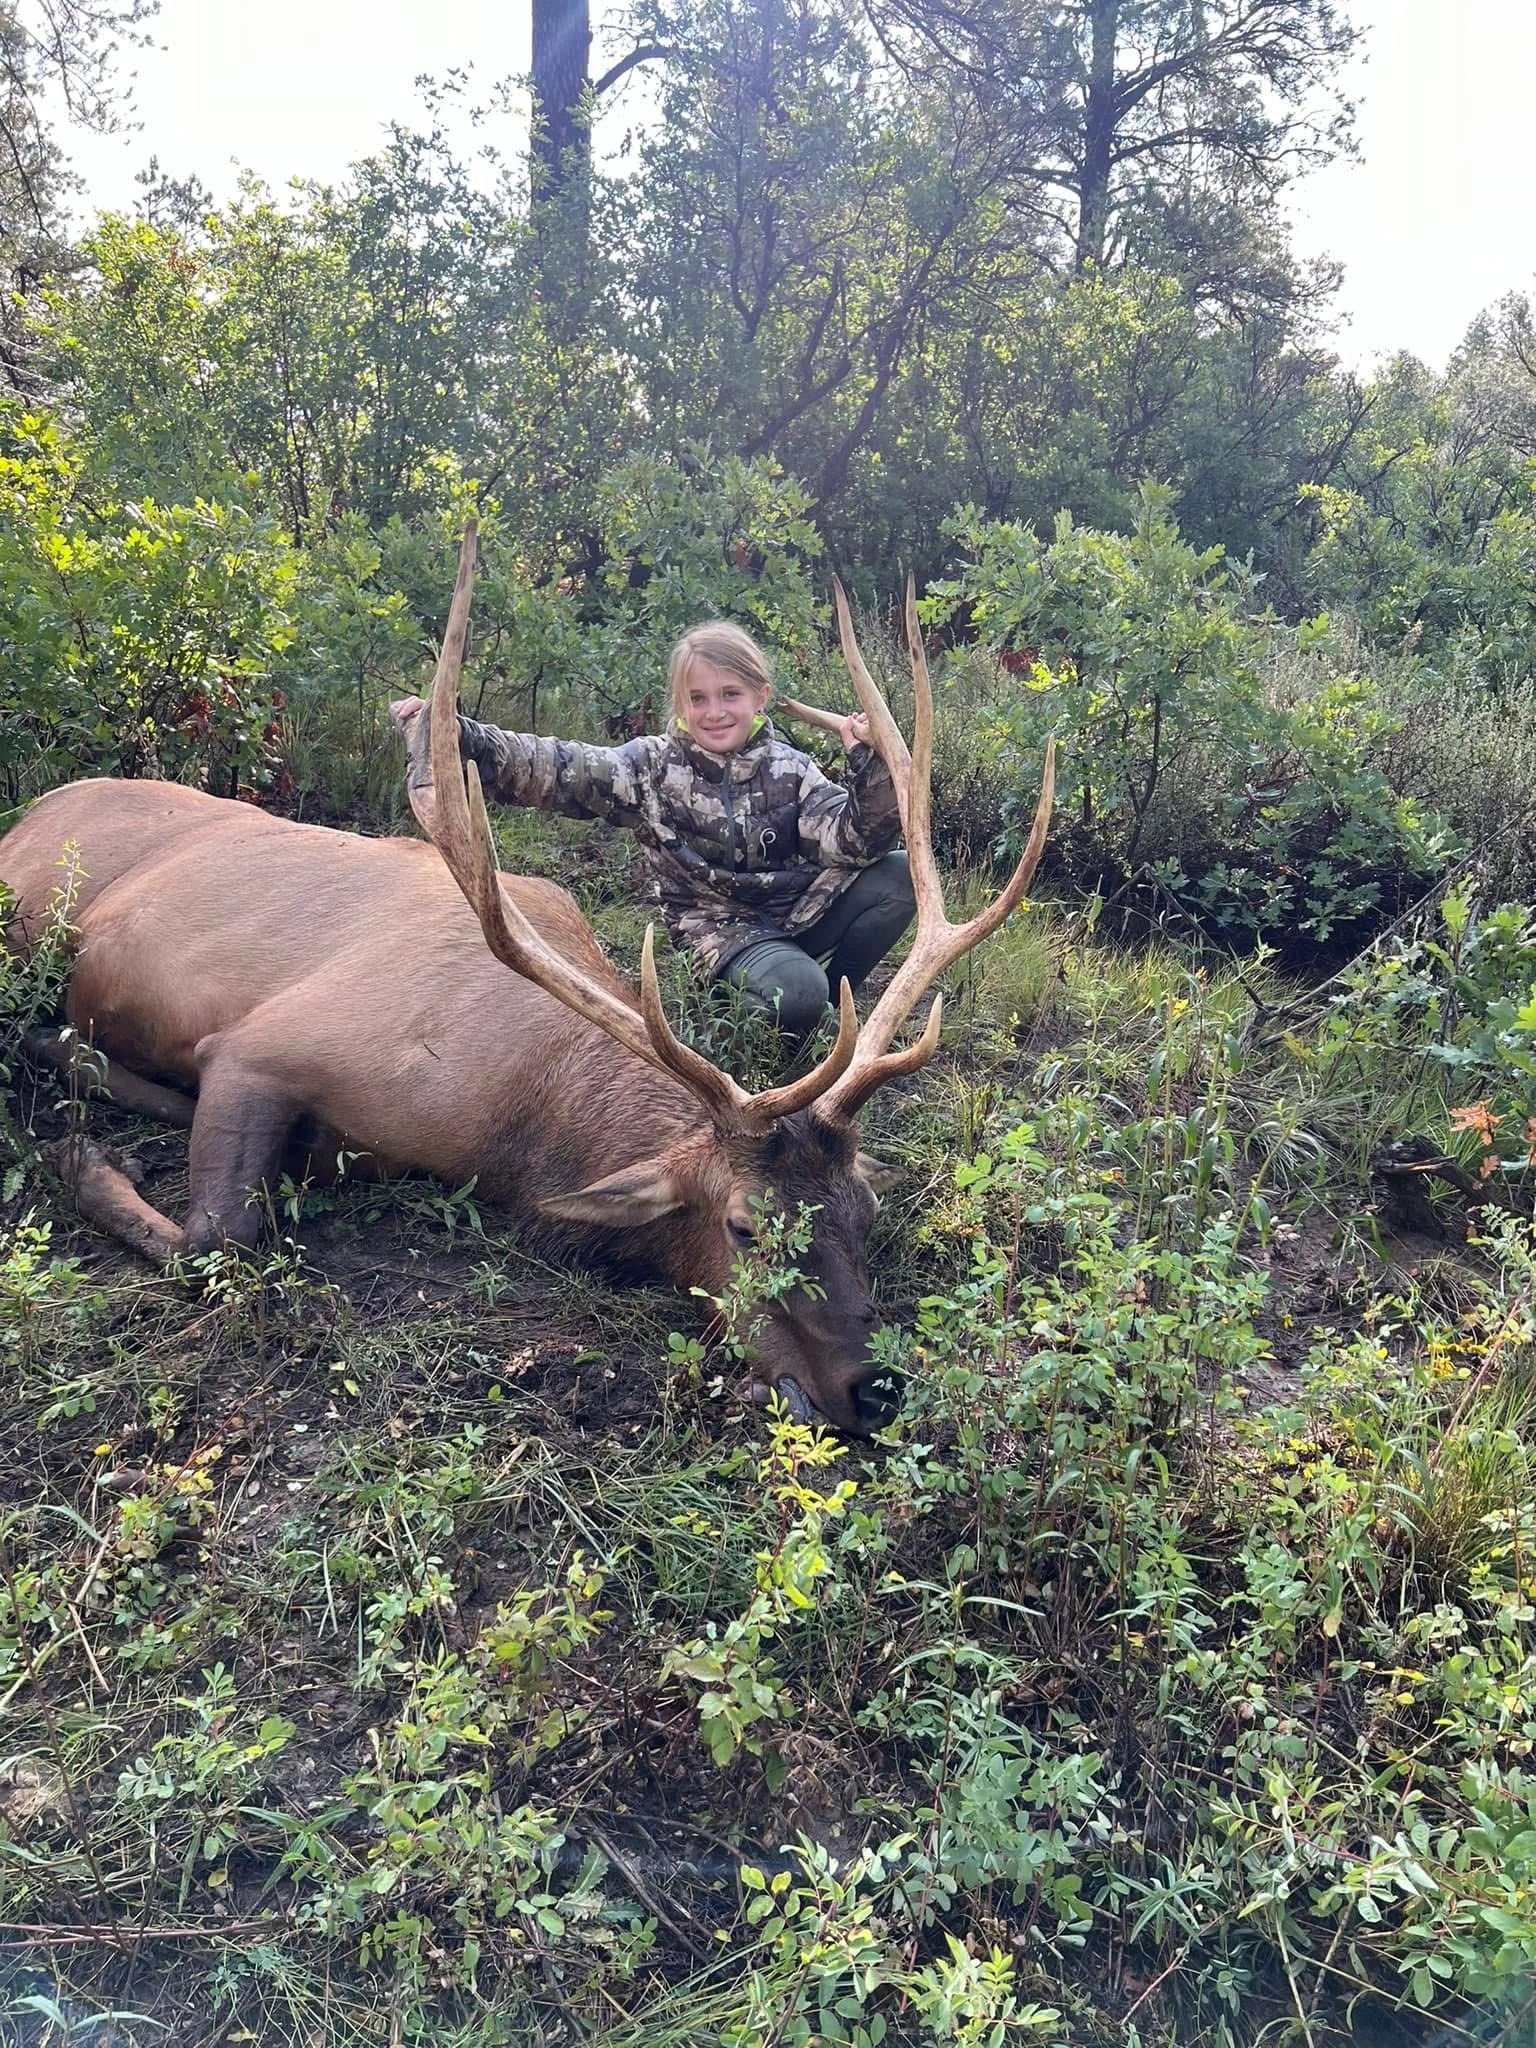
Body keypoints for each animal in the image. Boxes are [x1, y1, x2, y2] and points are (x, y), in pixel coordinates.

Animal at [1, 527, 1053, 1434]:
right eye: (747, 1228)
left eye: (865, 1216)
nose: (875, 1386)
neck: (523, 1126)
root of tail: (33, 807)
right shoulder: (264, 1047)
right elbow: (215, 1241)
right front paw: (80, 1157)